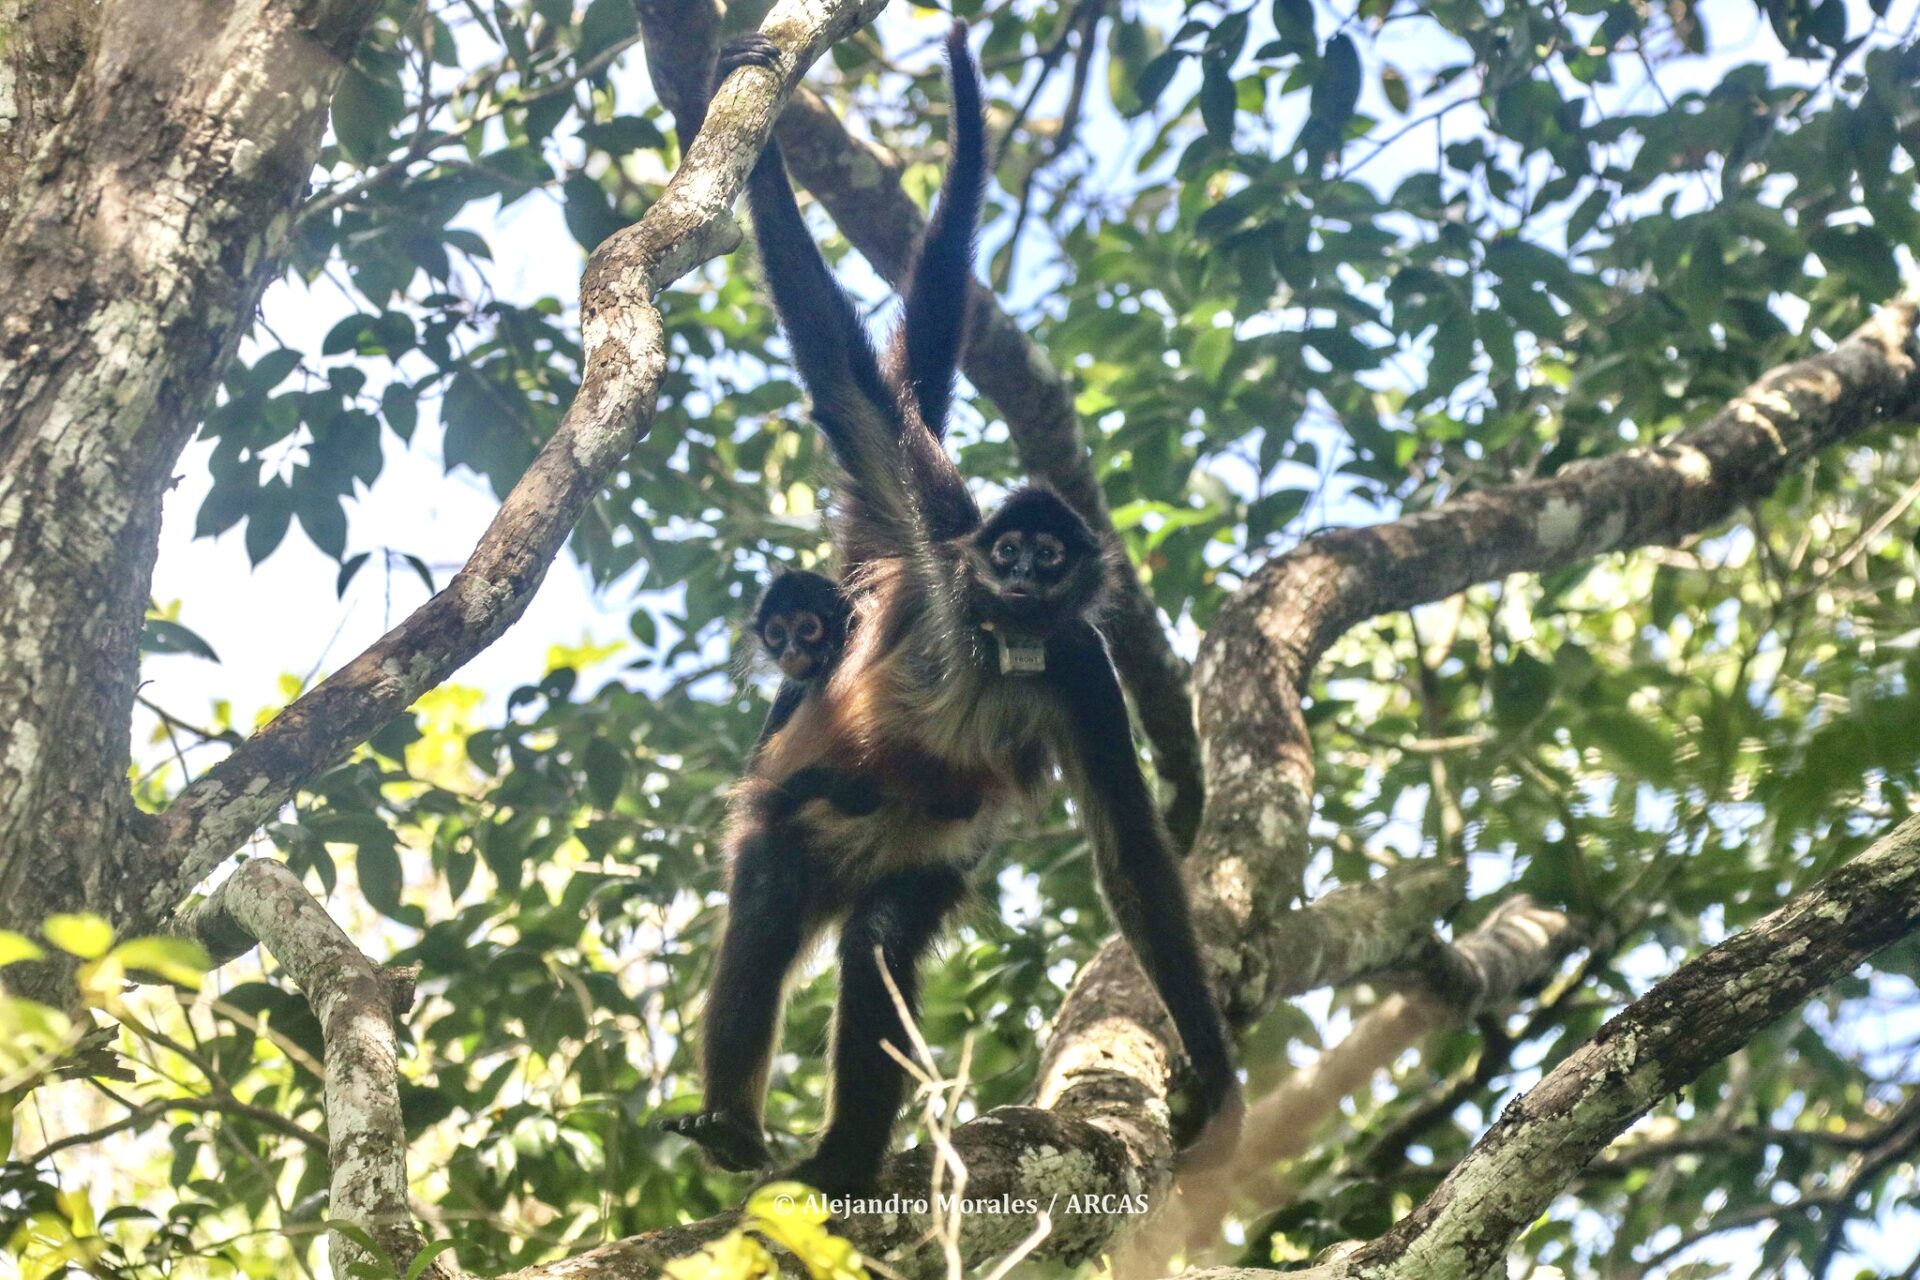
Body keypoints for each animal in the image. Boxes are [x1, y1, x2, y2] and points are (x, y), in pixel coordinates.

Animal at [662, 24, 1240, 1195]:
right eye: (1008, 549)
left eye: (1047, 557)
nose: (1018, 571)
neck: (997, 634)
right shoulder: (942, 529)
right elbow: (844, 380)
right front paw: (761, 135)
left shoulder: (1080, 664)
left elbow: (1134, 861)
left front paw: (1211, 1068)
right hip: (812, 809)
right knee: (773, 880)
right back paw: (739, 1123)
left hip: (909, 850)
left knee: (879, 937)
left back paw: (841, 1146)